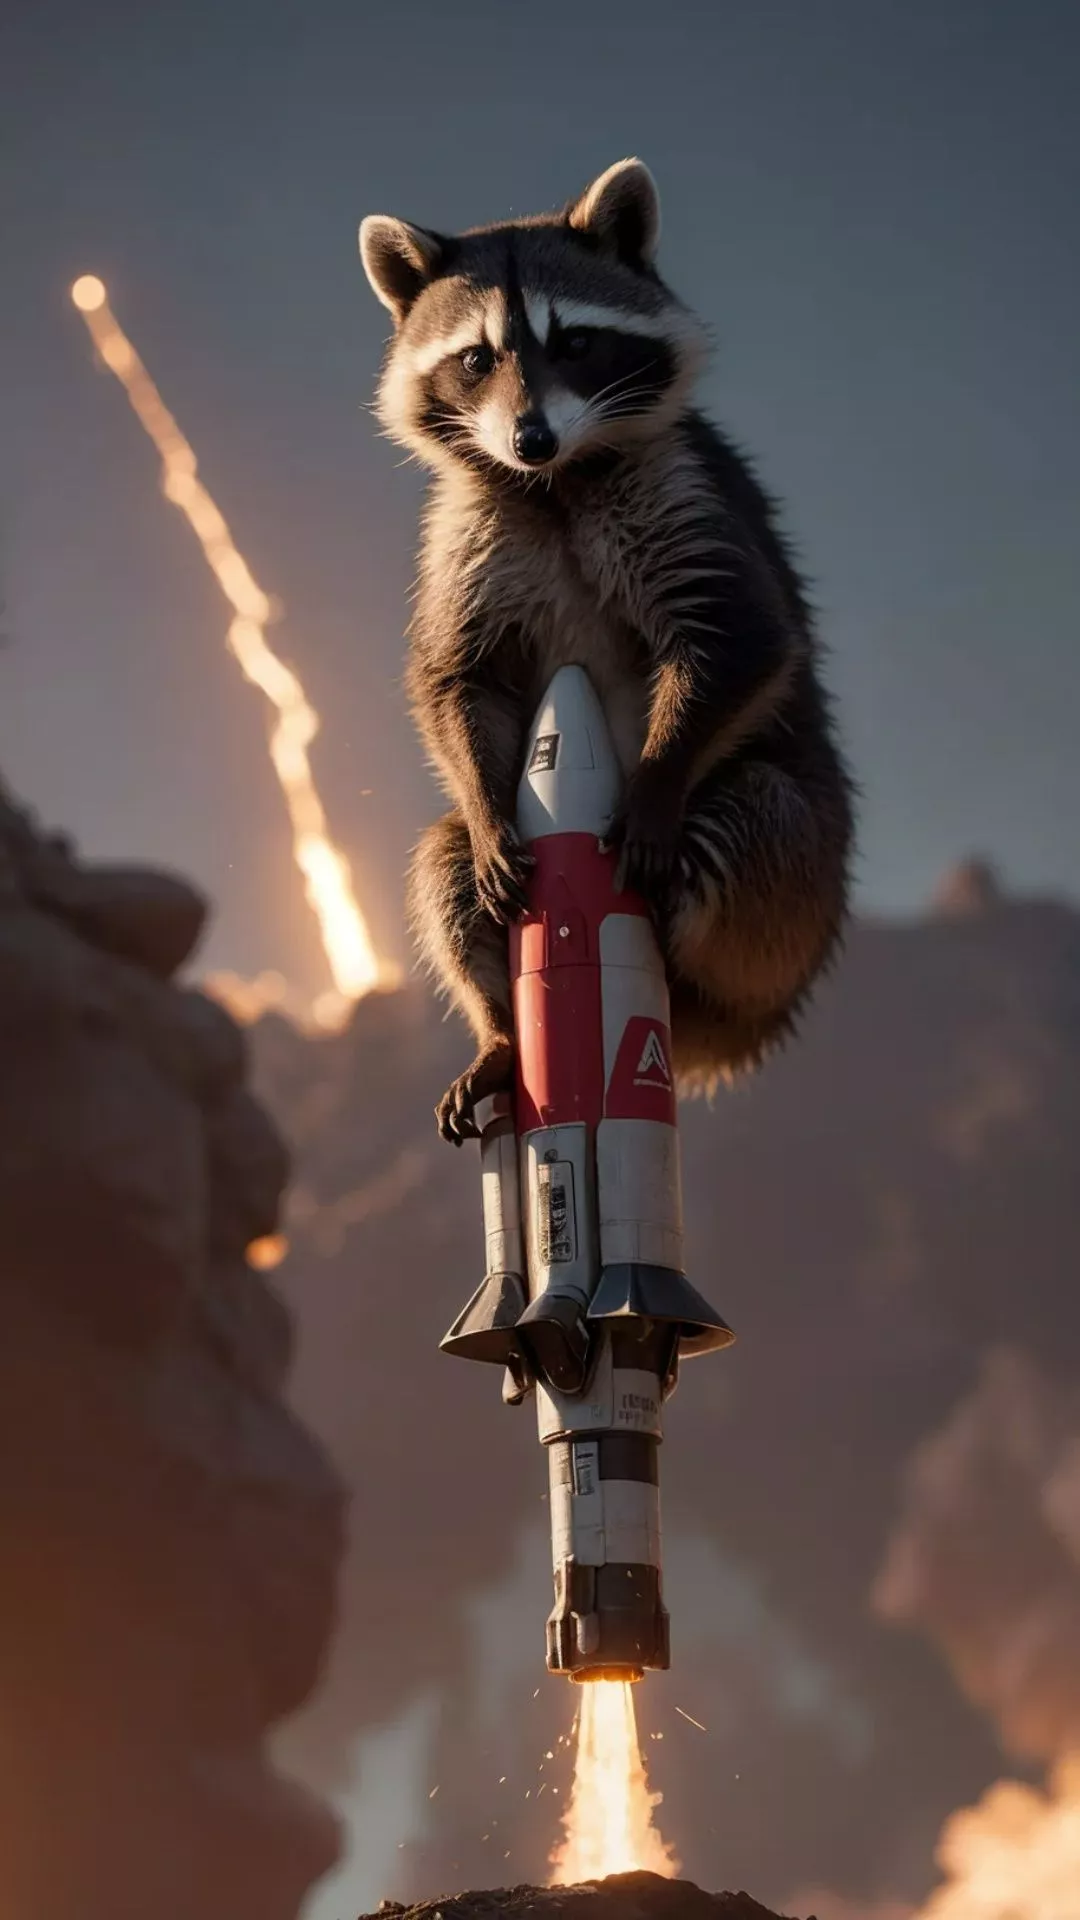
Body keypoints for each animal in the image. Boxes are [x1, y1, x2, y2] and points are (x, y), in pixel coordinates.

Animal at [360, 159, 855, 1144]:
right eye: (475, 359)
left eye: (578, 341)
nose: (531, 436)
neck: (553, 483)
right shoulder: (466, 537)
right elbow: (453, 678)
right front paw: (485, 809)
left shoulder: (686, 490)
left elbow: (738, 639)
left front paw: (661, 775)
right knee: (443, 866)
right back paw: (497, 1026)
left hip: (800, 897)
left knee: (754, 814)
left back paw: (675, 945)